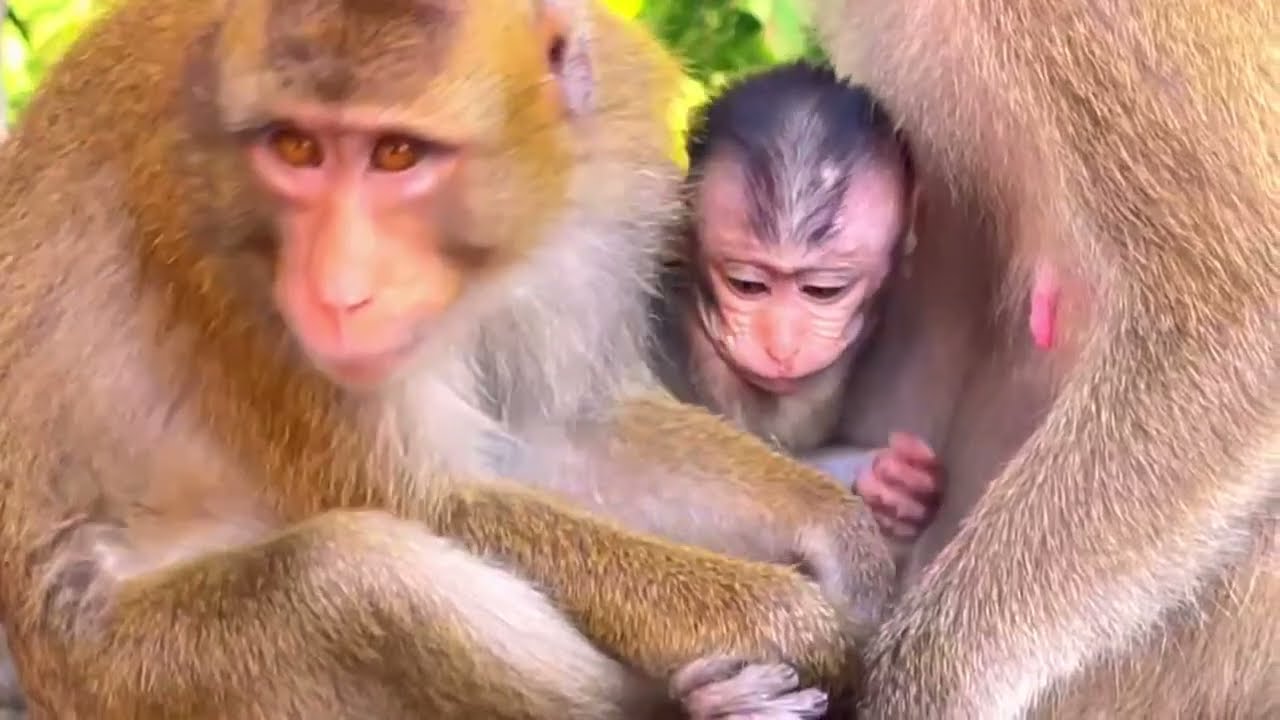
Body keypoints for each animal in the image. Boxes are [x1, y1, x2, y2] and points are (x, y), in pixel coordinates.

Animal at [0, 0, 900, 717]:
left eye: (399, 153)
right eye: (295, 147)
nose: (335, 288)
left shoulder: (604, 173)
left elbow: (564, 431)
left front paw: (837, 532)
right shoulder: (210, 235)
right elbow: (427, 503)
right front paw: (800, 624)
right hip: (126, 673)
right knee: (354, 574)